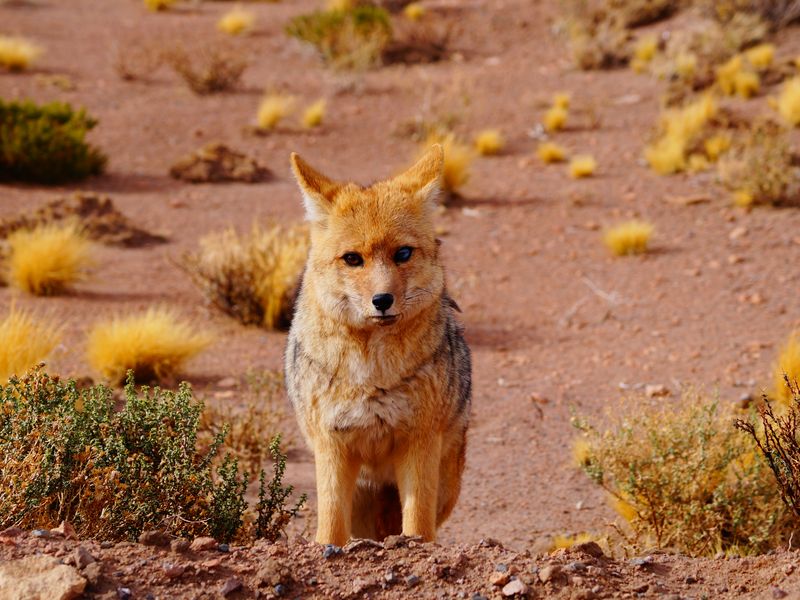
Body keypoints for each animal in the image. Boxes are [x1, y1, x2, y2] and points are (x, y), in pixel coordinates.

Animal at [284, 145, 472, 546]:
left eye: (402, 254)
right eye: (353, 258)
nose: (382, 300)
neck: (372, 375)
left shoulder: (419, 443)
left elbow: (418, 526)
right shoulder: (332, 447)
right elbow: (330, 528)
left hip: (445, 486)